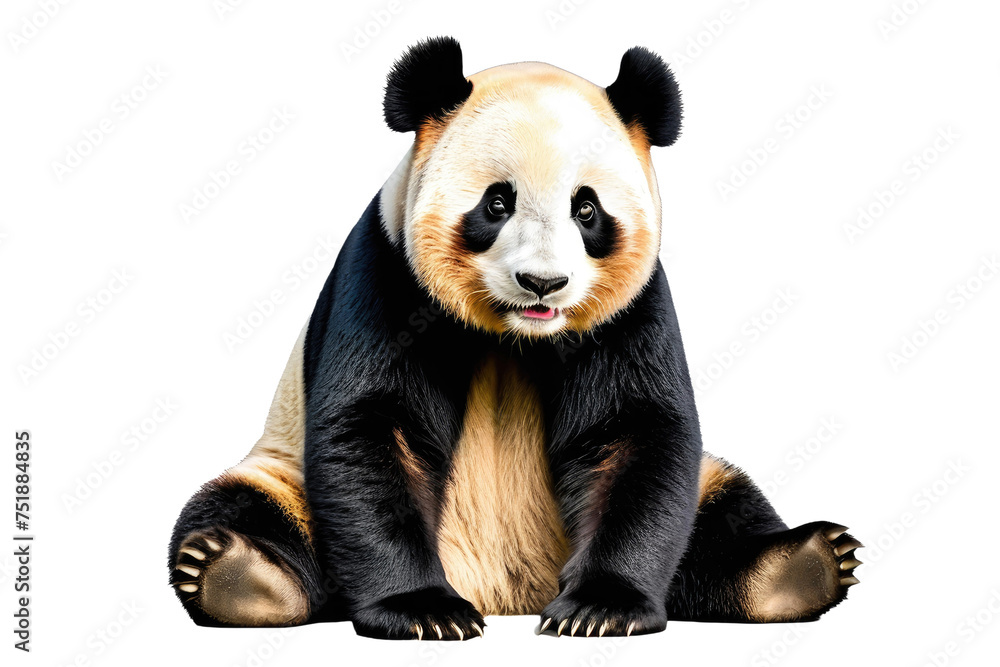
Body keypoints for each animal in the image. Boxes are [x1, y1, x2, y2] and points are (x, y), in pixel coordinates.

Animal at [169, 37, 861, 640]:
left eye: (587, 210)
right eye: (496, 204)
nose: (543, 283)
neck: (514, 335)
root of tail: (508, 594)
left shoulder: (630, 309)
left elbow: (634, 433)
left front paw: (599, 610)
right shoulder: (388, 276)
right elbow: (375, 428)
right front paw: (424, 612)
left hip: (705, 485)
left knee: (723, 510)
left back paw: (801, 566)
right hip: (282, 469)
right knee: (241, 506)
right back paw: (237, 576)